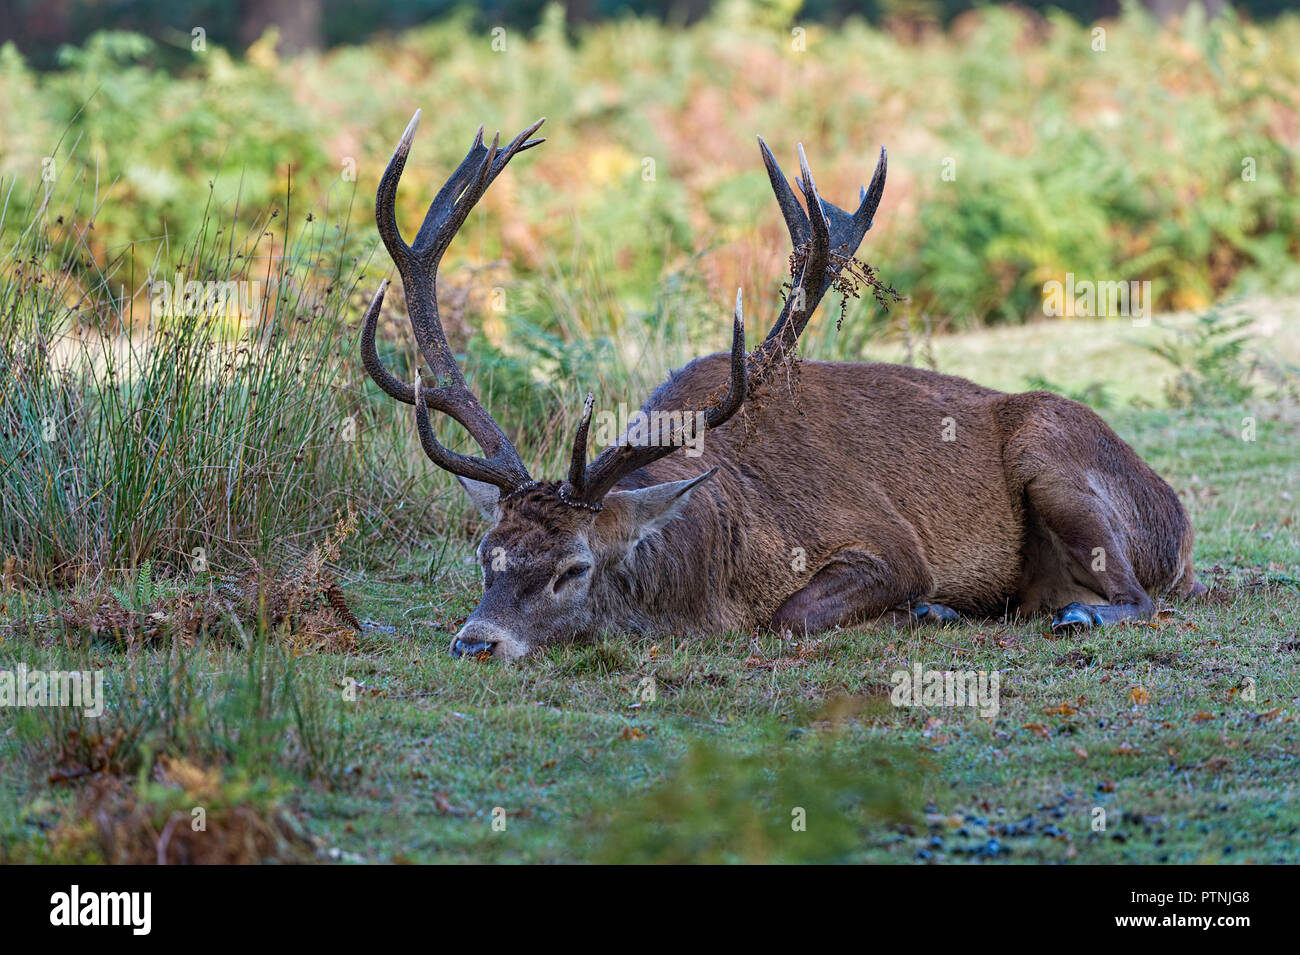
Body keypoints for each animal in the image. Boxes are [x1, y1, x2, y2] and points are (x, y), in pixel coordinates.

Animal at [360, 111, 1201, 661]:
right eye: (486, 553)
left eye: (574, 567)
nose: (475, 642)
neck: (719, 570)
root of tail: (1178, 518)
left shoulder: (887, 542)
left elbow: (790, 618)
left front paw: (926, 610)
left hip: (1056, 454)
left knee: (1139, 595)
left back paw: (1076, 614)